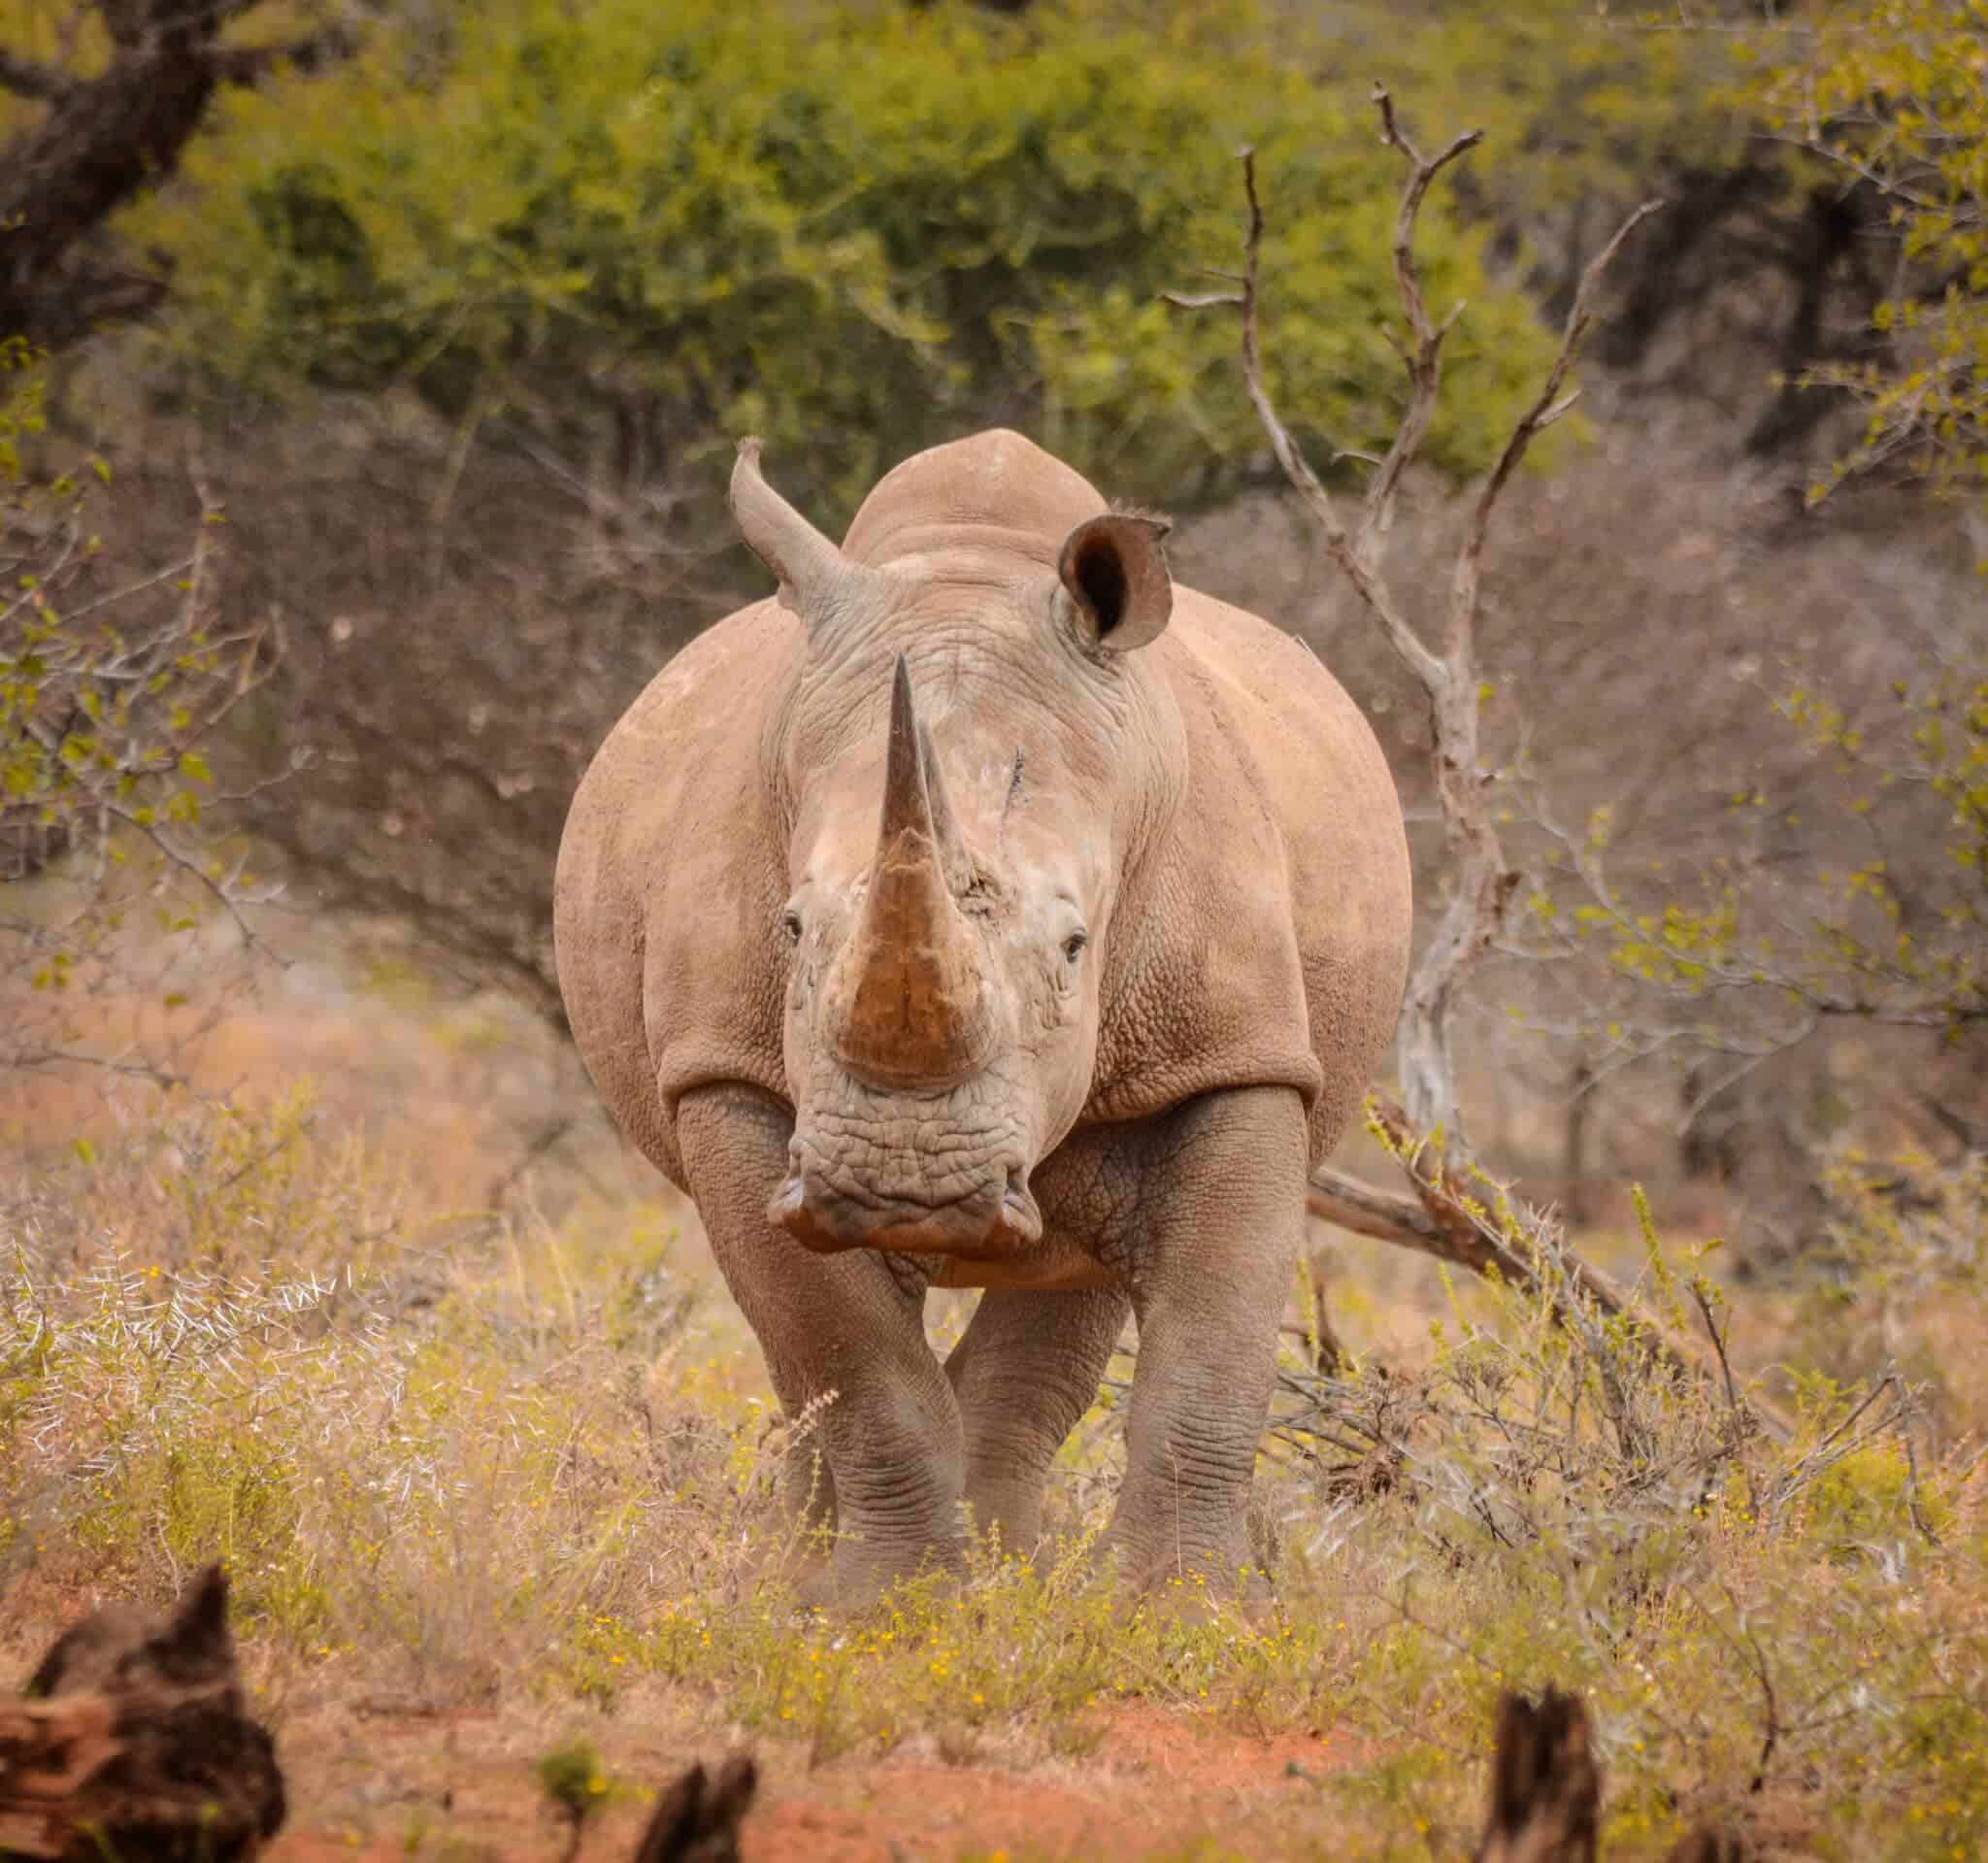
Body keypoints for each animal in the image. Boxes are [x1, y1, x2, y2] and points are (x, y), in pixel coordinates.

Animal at [554, 429, 1411, 1607]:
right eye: (788, 928)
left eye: (1075, 946)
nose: (904, 1185)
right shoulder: (722, 1070)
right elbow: (847, 1357)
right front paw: (887, 1605)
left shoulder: (1236, 1053)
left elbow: (1211, 1343)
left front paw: (1187, 1610)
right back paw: (835, 1568)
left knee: (1080, 1271)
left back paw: (1014, 1564)